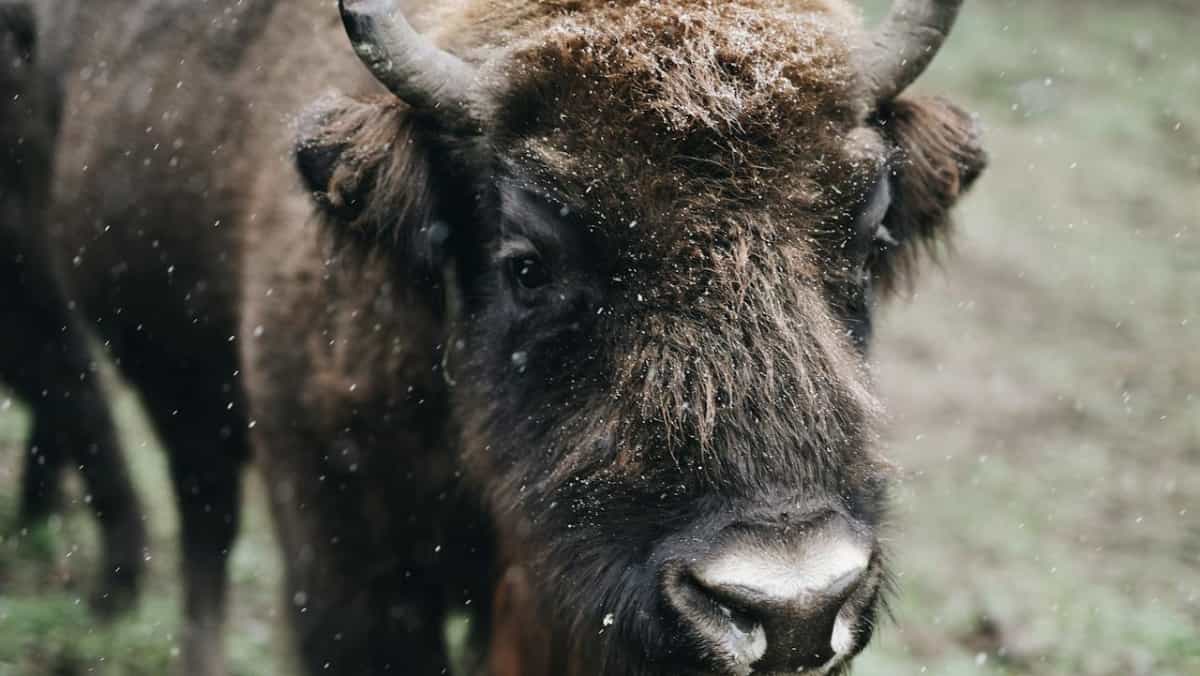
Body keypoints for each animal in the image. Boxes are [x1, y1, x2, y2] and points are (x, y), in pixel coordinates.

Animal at [2, 1, 985, 675]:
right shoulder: (348, 573)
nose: (793, 606)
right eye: (528, 264)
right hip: (167, 376)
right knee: (192, 506)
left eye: (869, 240)